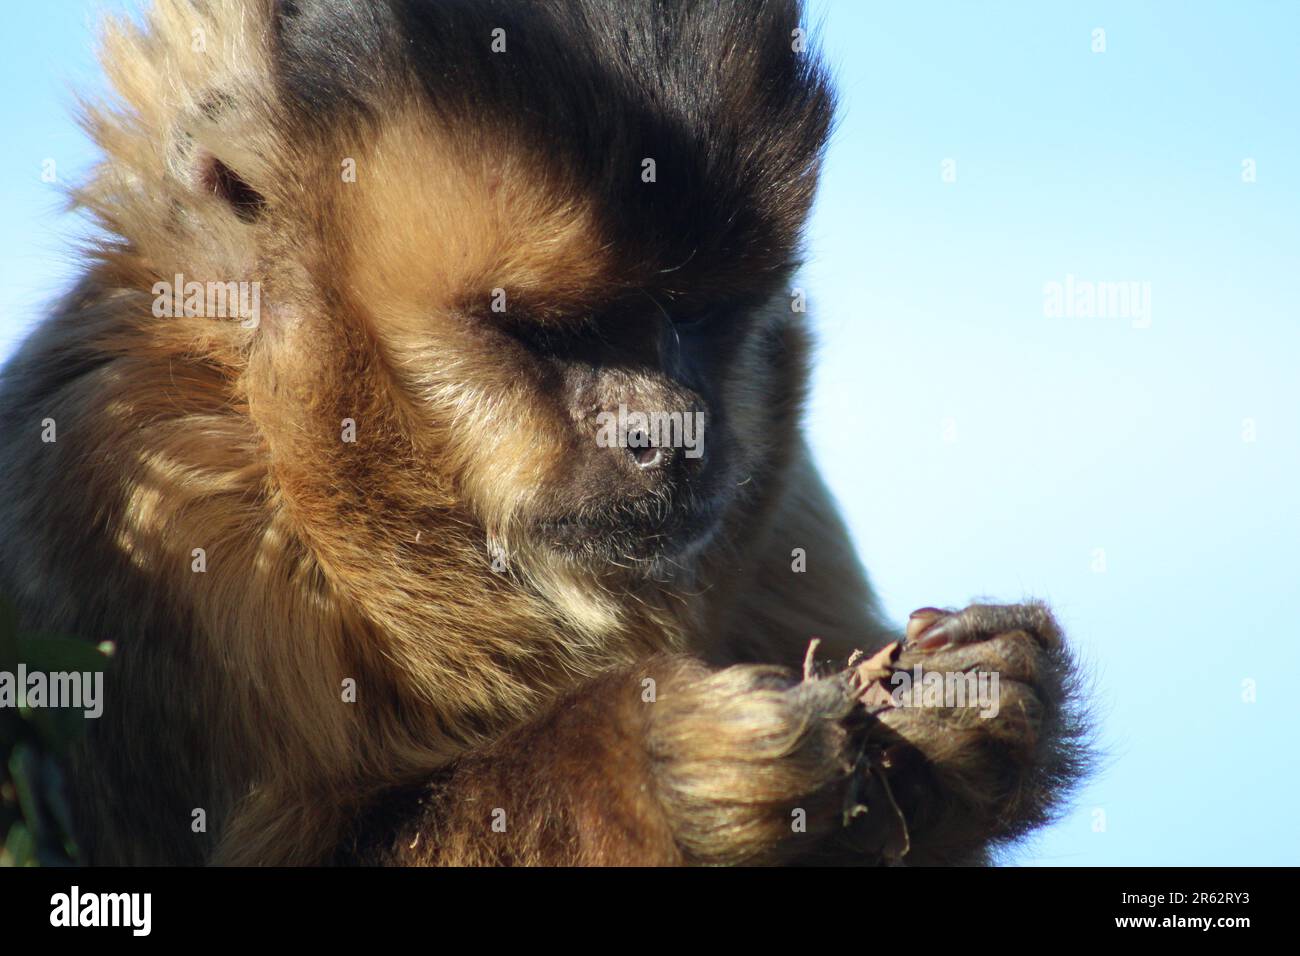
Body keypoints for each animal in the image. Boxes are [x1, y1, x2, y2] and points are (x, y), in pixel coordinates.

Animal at [0, 0, 1090, 866]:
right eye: (547, 332)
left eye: (695, 316)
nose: (671, 432)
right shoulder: (144, 484)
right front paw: (658, 769)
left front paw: (980, 711)